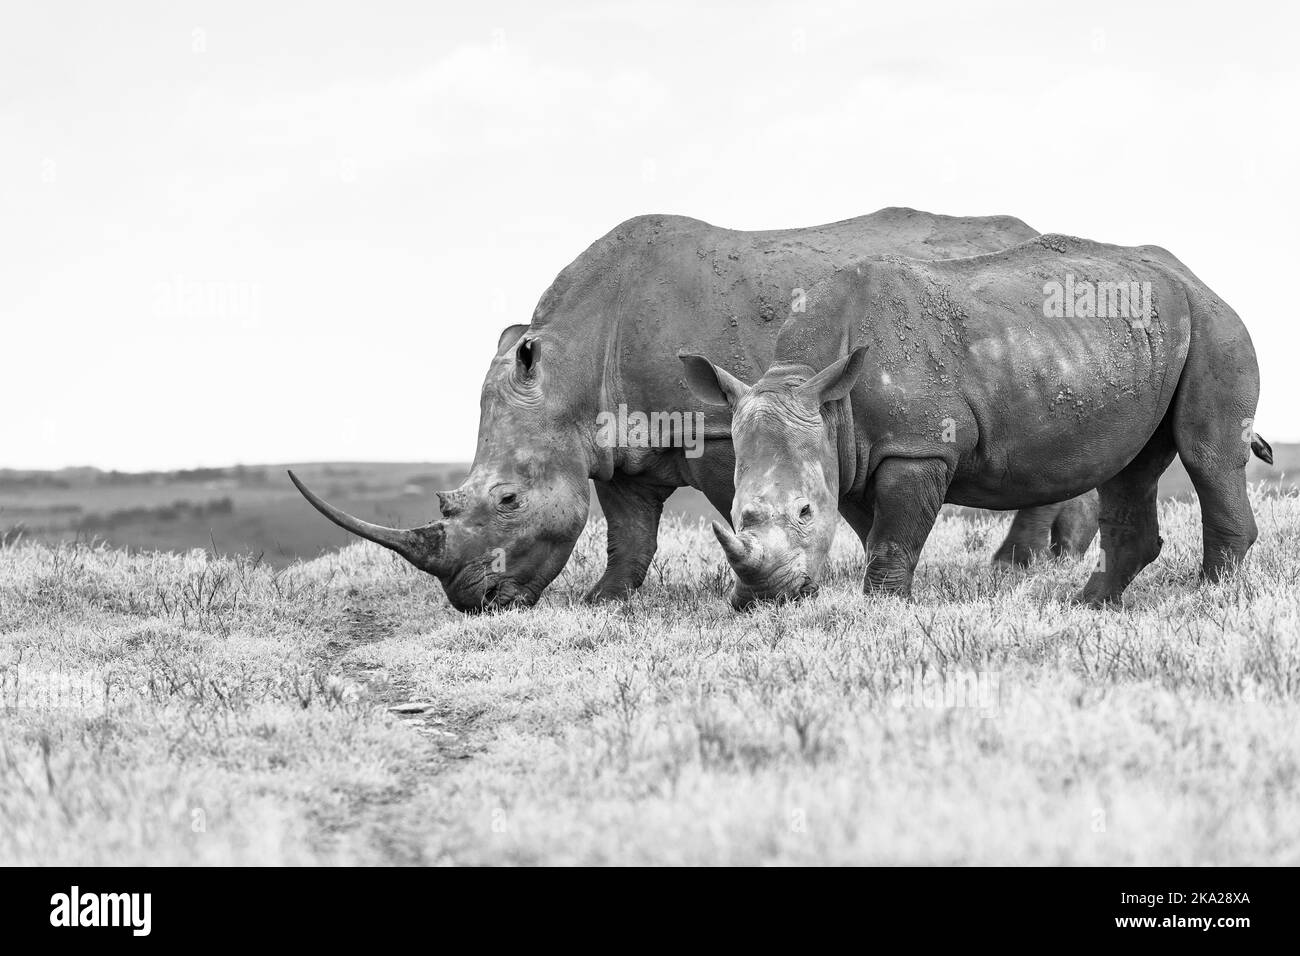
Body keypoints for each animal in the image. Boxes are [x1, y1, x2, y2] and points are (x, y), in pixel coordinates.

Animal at [290, 209, 1096, 611]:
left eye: (508, 500)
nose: (473, 600)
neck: (575, 361)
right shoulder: (616, 443)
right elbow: (628, 532)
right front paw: (603, 602)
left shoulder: (714, 425)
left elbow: (735, 507)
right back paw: (1046, 560)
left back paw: (1018, 566)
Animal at [680, 233, 1272, 609]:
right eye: (734, 510)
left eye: (804, 511)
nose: (763, 601)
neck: (812, 381)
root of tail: (1195, 276)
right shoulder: (849, 454)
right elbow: (873, 533)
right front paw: (884, 602)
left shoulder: (917, 446)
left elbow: (892, 537)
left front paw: (883, 611)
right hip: (1145, 339)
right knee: (1132, 469)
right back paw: (1088, 606)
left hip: (1215, 326)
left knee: (1207, 455)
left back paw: (1209, 601)